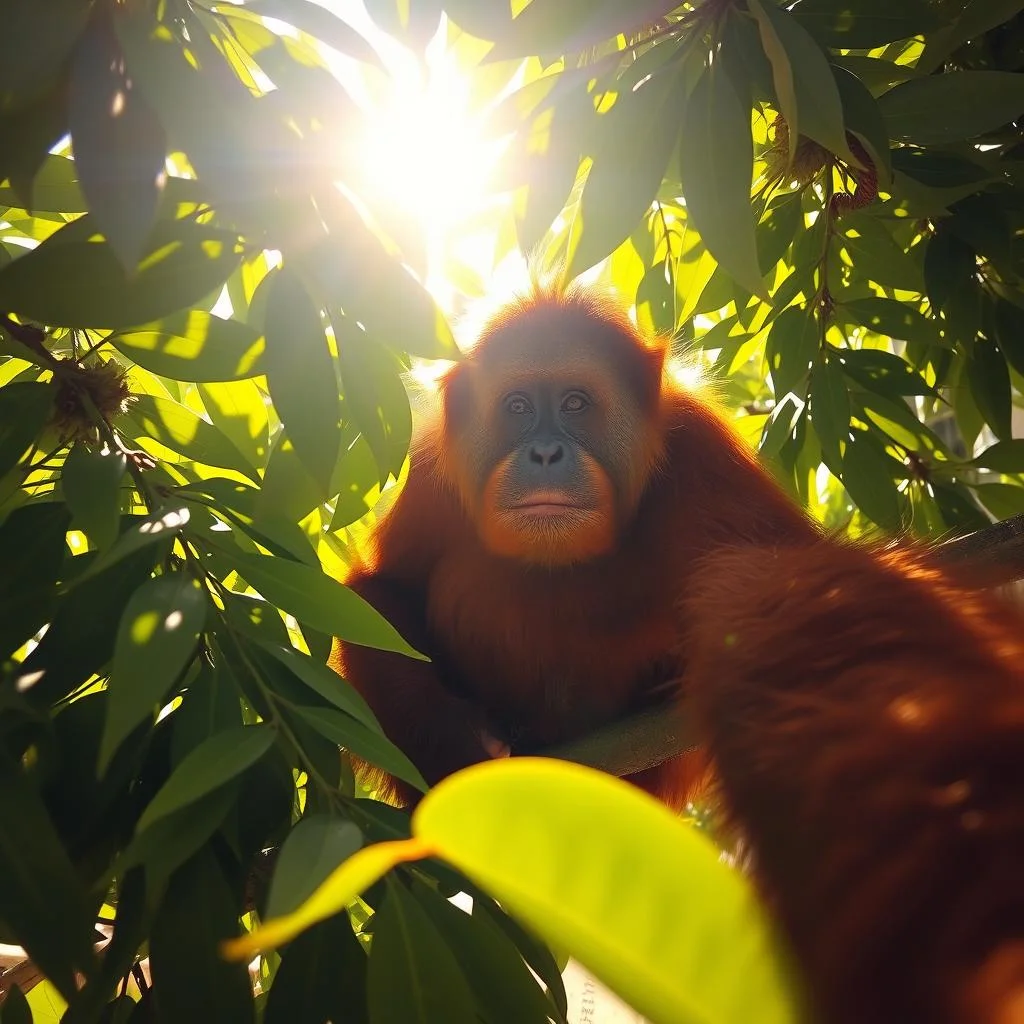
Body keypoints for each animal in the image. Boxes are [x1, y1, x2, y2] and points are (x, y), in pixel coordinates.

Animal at [332, 281, 1024, 1024]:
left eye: (574, 404)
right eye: (517, 408)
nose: (544, 452)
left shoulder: (705, 458)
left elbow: (779, 594)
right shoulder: (434, 471)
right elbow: (380, 593)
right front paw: (453, 742)